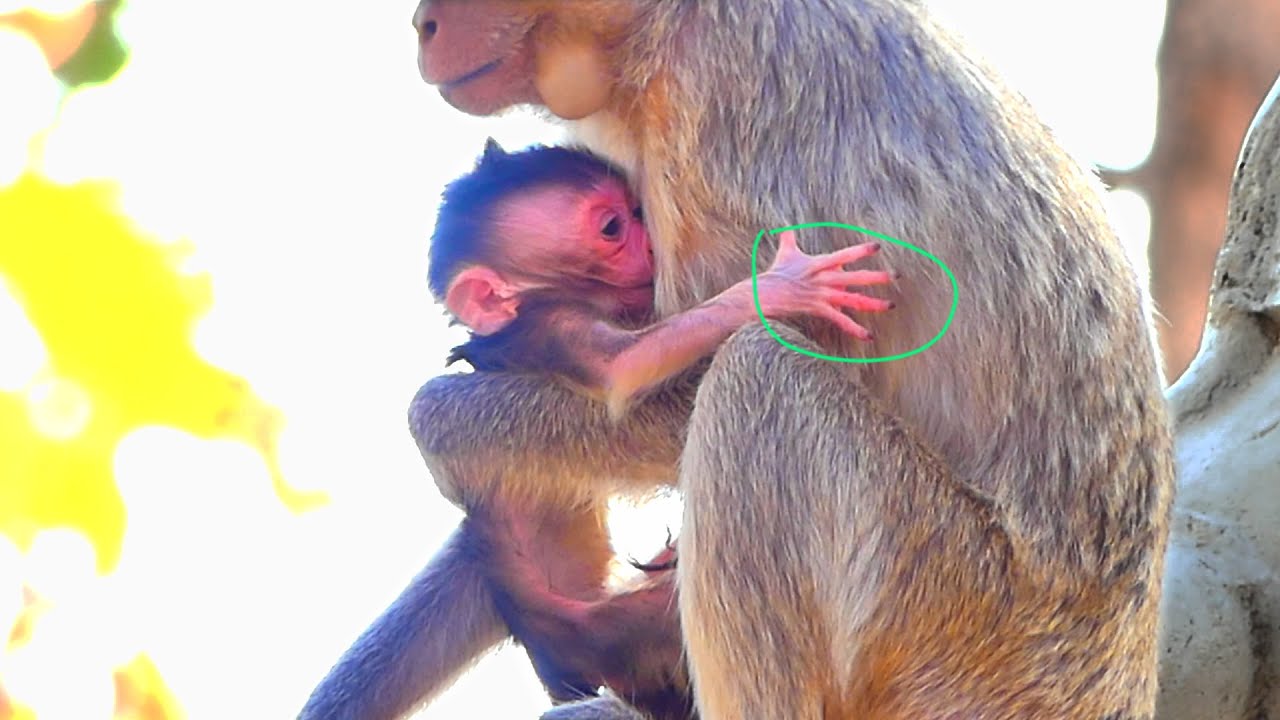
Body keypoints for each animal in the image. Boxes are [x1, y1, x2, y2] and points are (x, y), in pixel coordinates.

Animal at [400, 1, 1179, 719]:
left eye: (617, 226)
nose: (424, 26)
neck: (657, 26)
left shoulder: (720, 110)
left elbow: (671, 389)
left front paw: (444, 425)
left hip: (963, 622)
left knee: (758, 373)